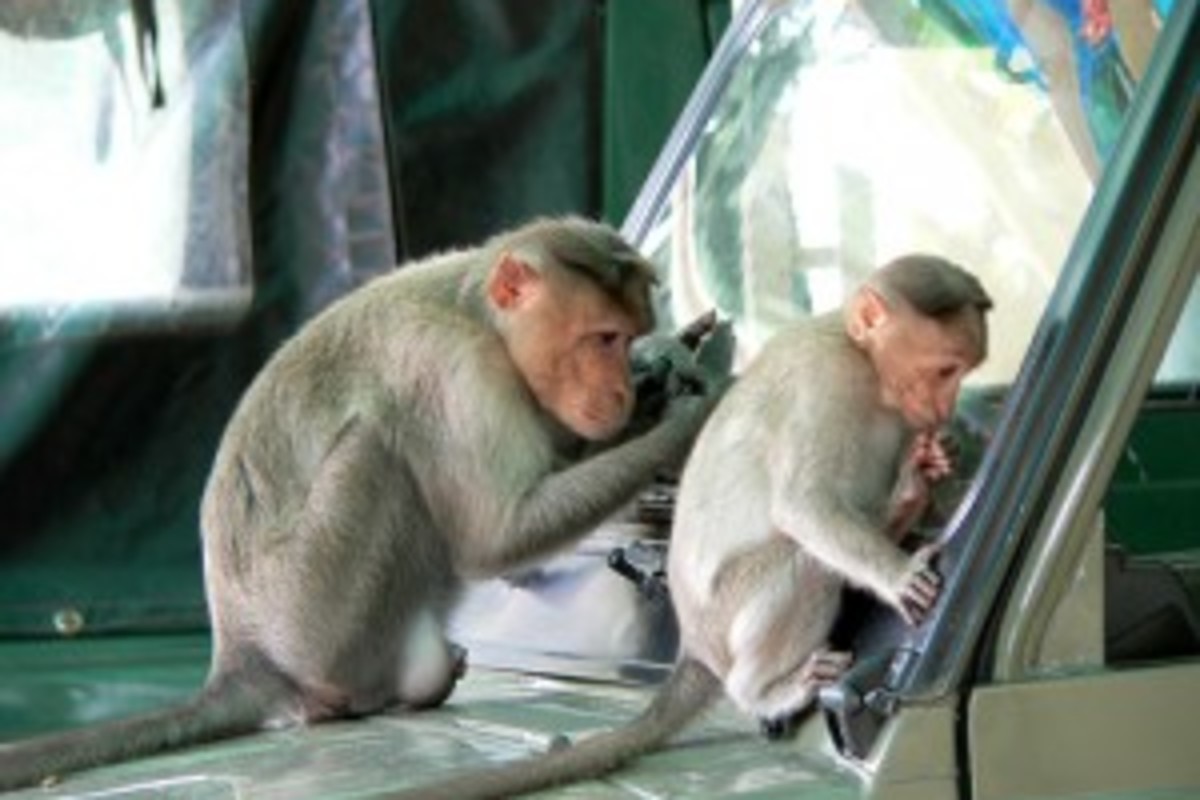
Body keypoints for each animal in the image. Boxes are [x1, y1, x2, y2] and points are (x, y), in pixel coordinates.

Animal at [0, 217, 723, 791]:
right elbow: (495, 534)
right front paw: (691, 421)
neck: (479, 317)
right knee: (377, 454)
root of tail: (242, 656)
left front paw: (664, 383)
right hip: (316, 617)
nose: (620, 389)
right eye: (602, 338)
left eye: (628, 333)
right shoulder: (454, 371)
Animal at [390, 253, 993, 800]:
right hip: (728, 615)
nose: (947, 403)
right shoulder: (829, 382)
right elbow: (804, 507)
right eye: (945, 369)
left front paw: (921, 481)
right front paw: (897, 574)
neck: (868, 369)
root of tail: (696, 647)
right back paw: (762, 690)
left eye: (963, 370)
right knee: (802, 559)